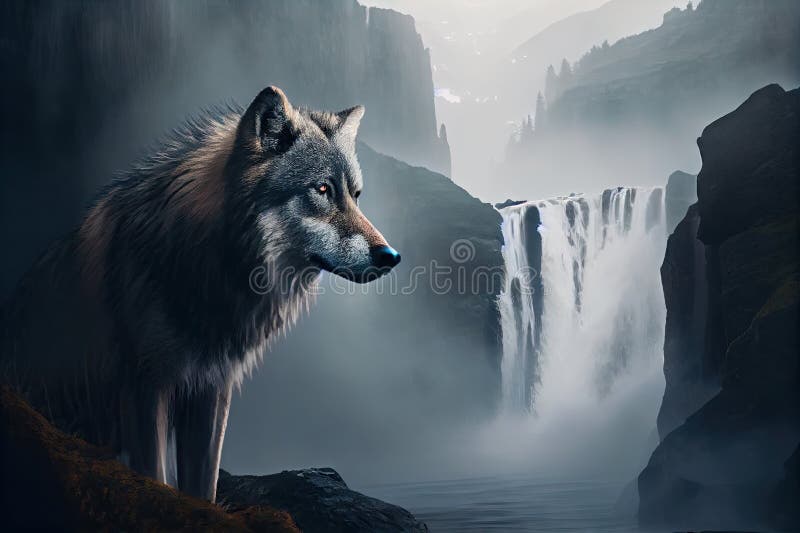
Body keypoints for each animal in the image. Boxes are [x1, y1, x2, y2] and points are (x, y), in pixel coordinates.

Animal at [0, 86, 400, 501]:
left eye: (355, 195)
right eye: (322, 189)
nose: (389, 256)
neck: (209, 265)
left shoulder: (212, 390)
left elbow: (202, 486)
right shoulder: (146, 389)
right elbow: (156, 477)